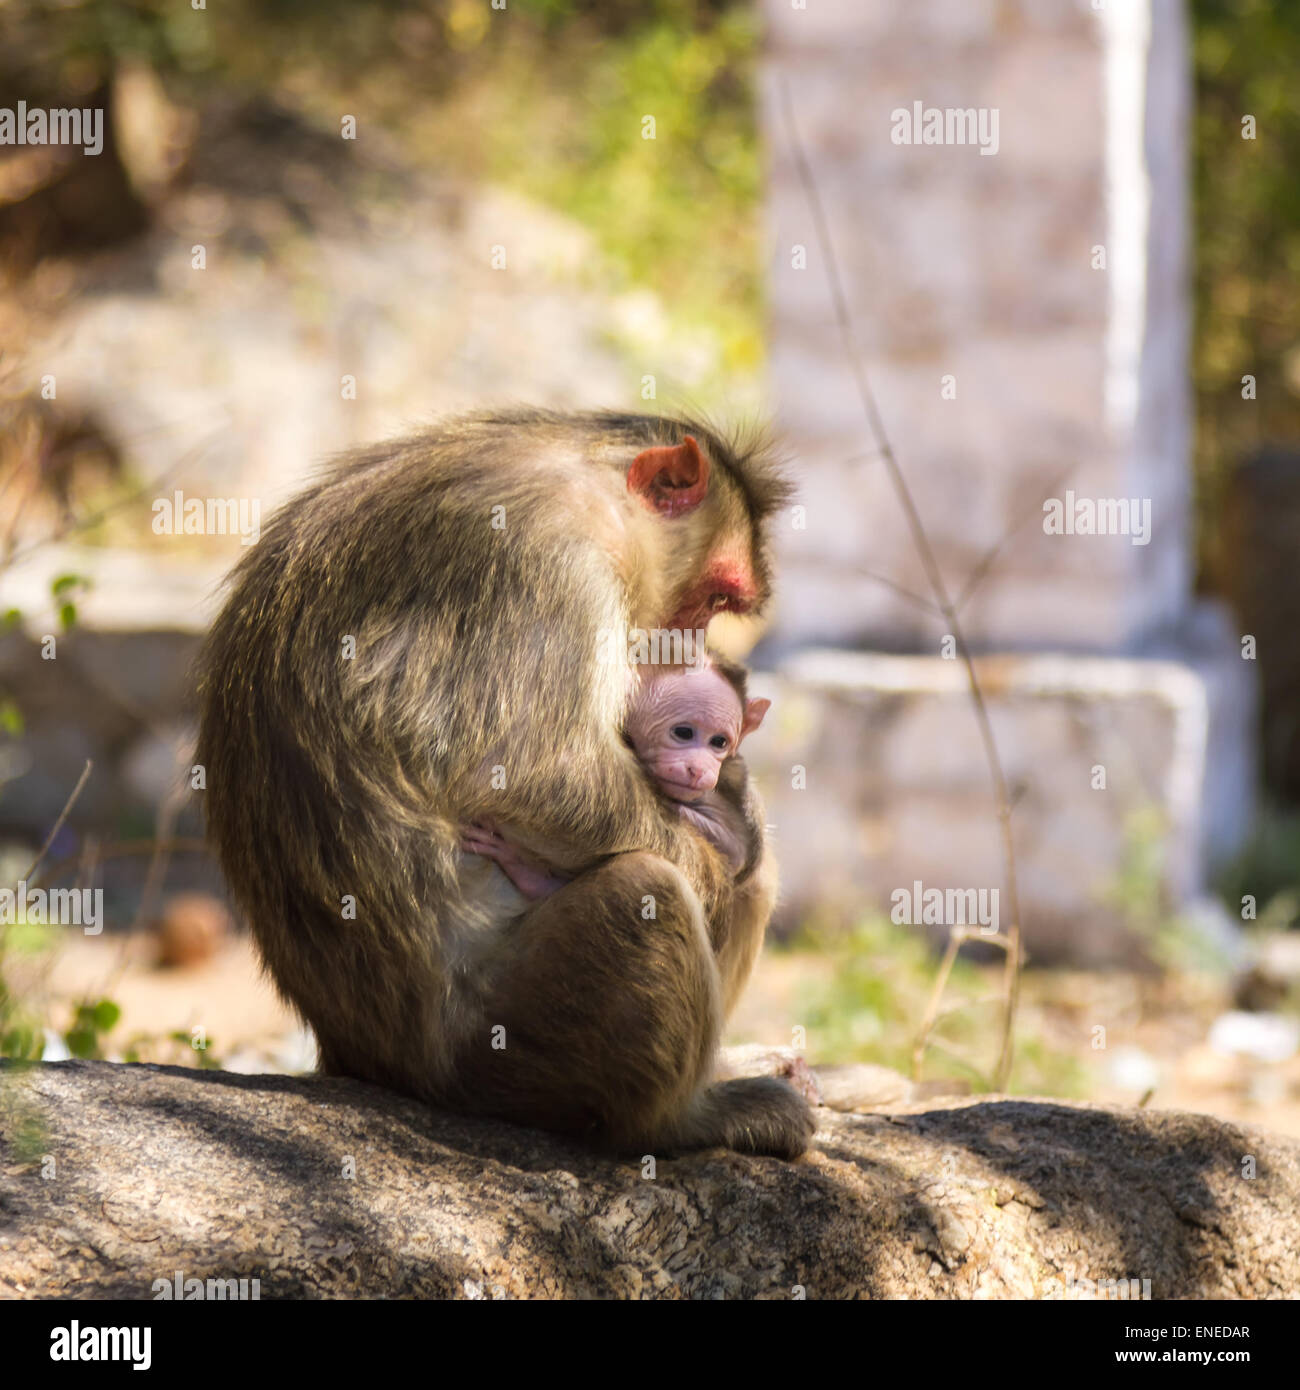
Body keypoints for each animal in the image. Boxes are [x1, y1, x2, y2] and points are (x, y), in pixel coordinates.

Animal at [196, 410, 813, 1159]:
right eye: (713, 597)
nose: (689, 648)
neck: (593, 487)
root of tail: (365, 1059)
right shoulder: (550, 561)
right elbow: (538, 775)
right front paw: (718, 858)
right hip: (499, 1050)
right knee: (648, 889)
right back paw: (683, 1121)